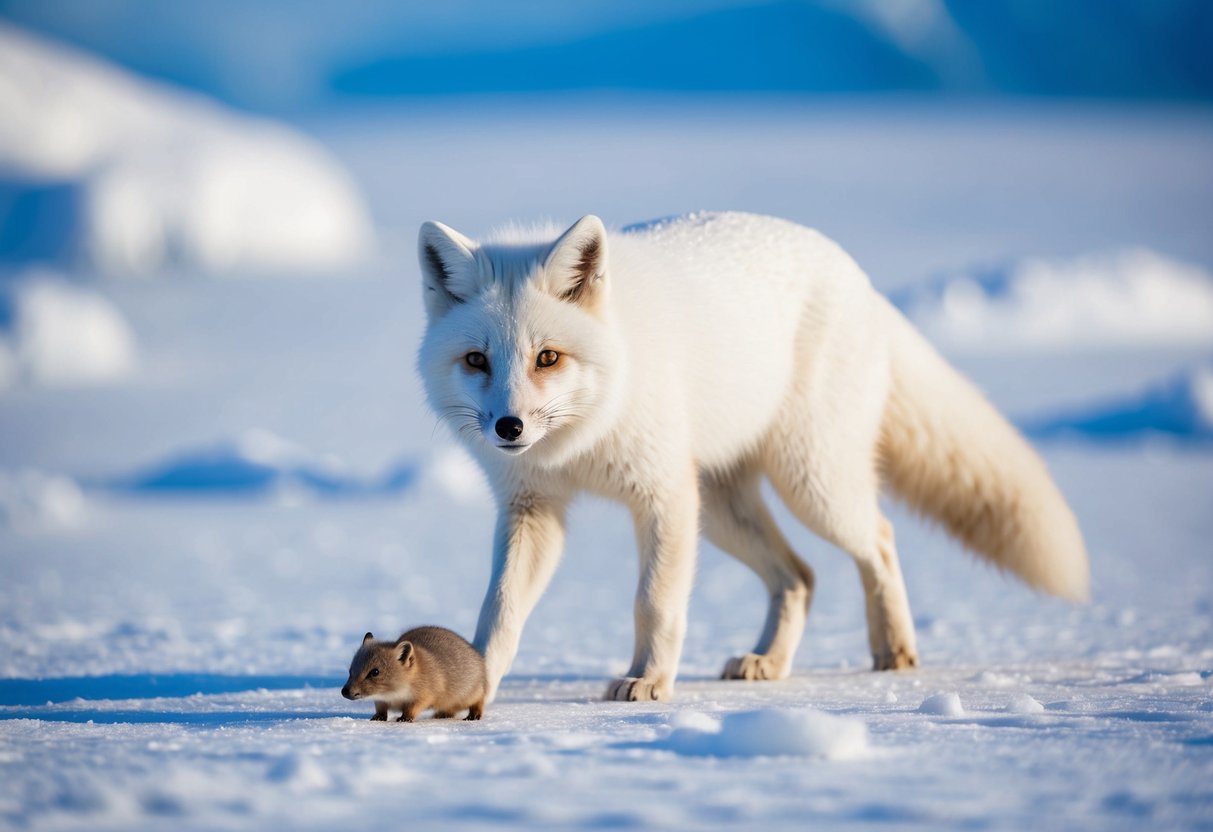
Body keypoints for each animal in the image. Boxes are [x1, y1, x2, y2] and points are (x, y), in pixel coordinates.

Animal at [416, 211, 1088, 703]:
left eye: (547, 358)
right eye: (477, 360)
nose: (509, 427)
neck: (584, 435)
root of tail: (858, 277)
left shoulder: (664, 497)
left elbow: (654, 603)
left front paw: (649, 681)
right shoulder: (533, 508)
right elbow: (499, 611)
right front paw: (475, 686)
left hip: (808, 487)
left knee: (880, 539)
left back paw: (894, 653)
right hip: (723, 512)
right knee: (800, 576)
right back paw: (769, 661)